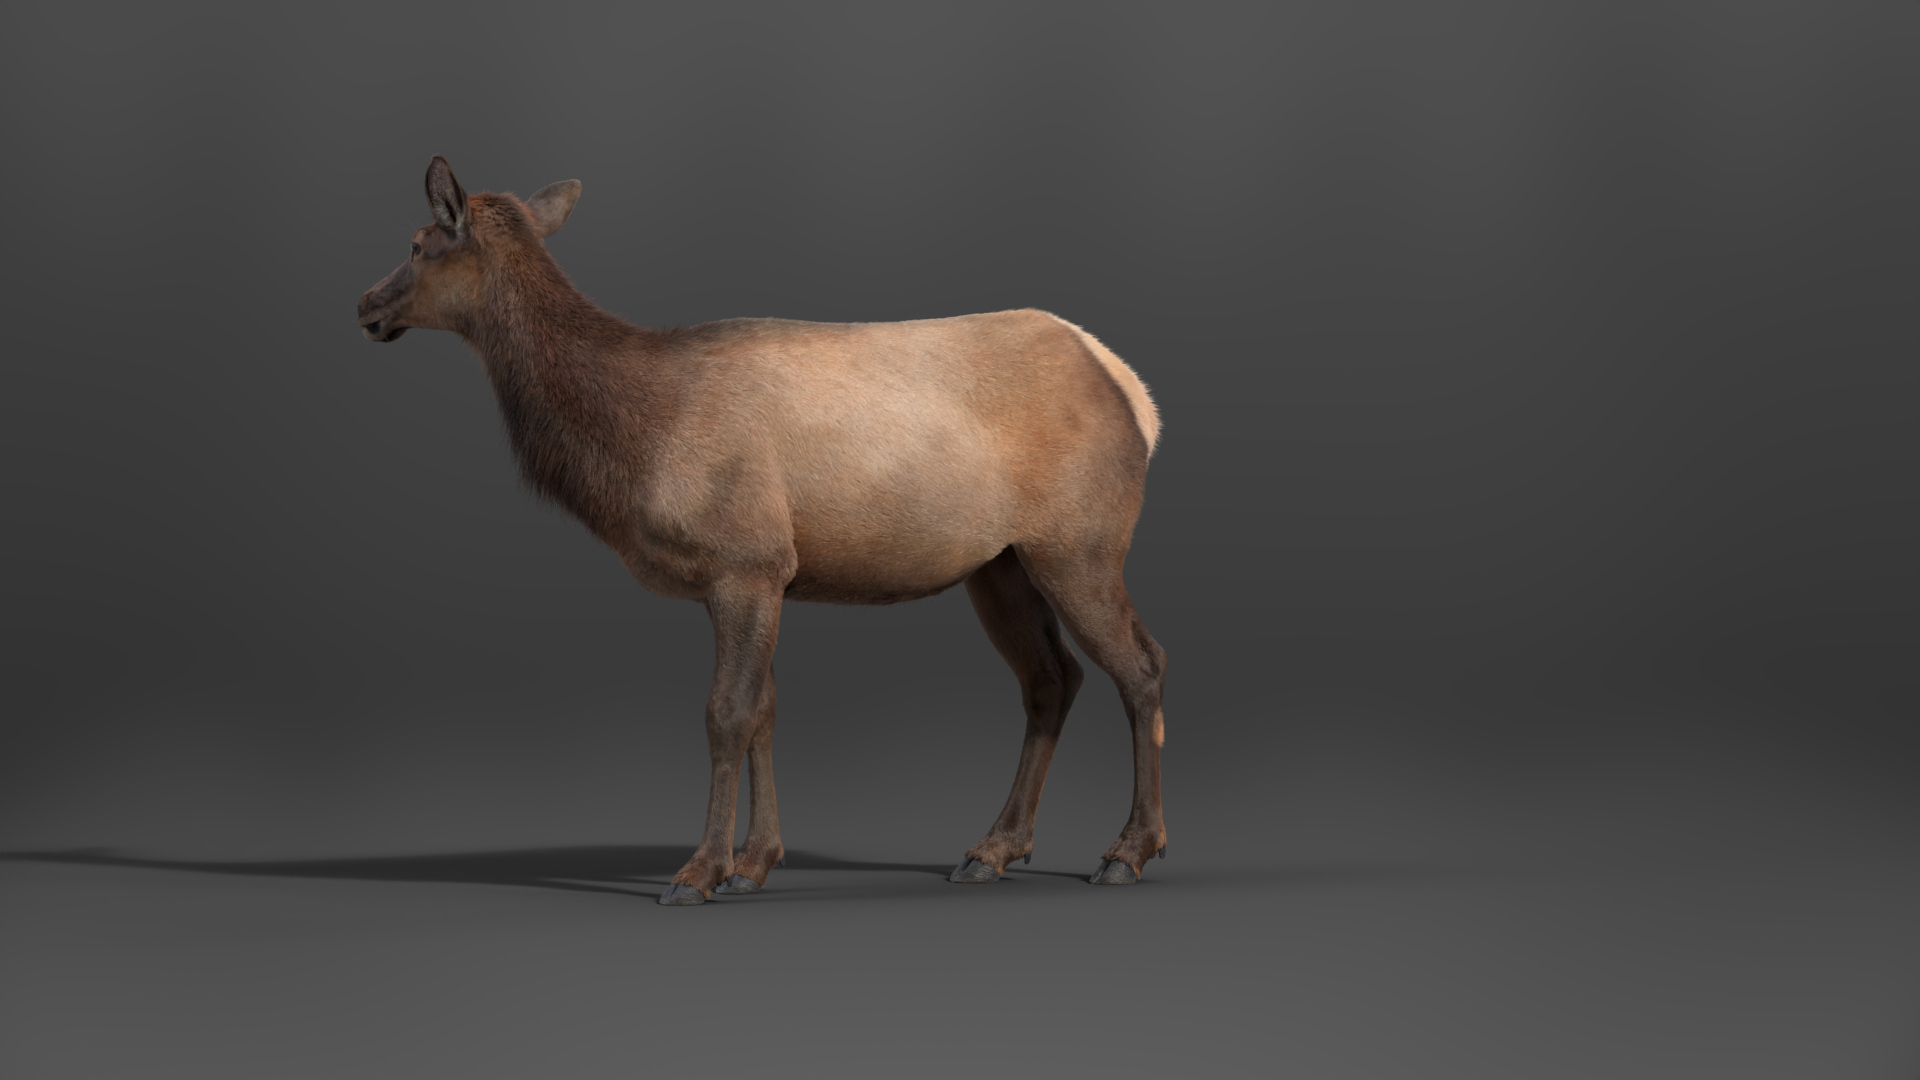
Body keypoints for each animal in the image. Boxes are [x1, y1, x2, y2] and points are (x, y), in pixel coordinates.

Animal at [356, 157, 1168, 905]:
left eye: (419, 243)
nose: (363, 301)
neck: (634, 438)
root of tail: (1136, 396)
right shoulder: (765, 576)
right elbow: (767, 714)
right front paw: (753, 863)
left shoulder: (745, 560)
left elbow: (727, 715)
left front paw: (698, 872)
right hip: (999, 563)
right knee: (1050, 677)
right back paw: (994, 849)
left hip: (1081, 543)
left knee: (1141, 664)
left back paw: (1130, 851)